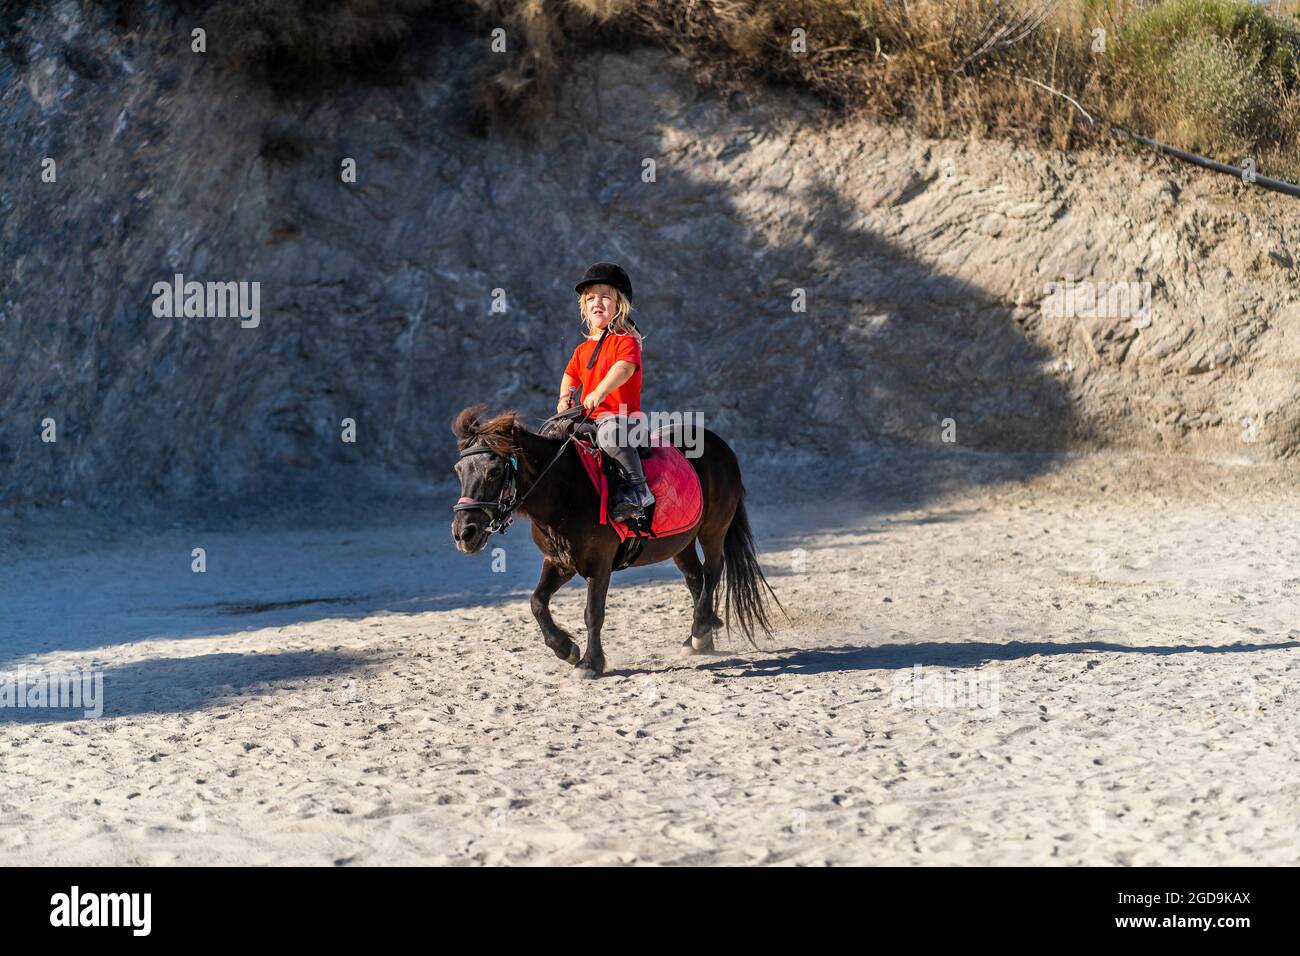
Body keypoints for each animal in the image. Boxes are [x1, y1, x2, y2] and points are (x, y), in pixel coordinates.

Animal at [450, 404, 784, 678]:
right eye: (458, 470)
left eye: (494, 471)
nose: (464, 533)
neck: (564, 491)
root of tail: (719, 445)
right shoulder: (559, 562)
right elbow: (537, 603)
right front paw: (565, 649)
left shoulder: (599, 566)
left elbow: (593, 613)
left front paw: (589, 663)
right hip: (681, 542)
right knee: (696, 578)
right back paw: (698, 638)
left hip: (714, 529)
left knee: (714, 569)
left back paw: (701, 631)